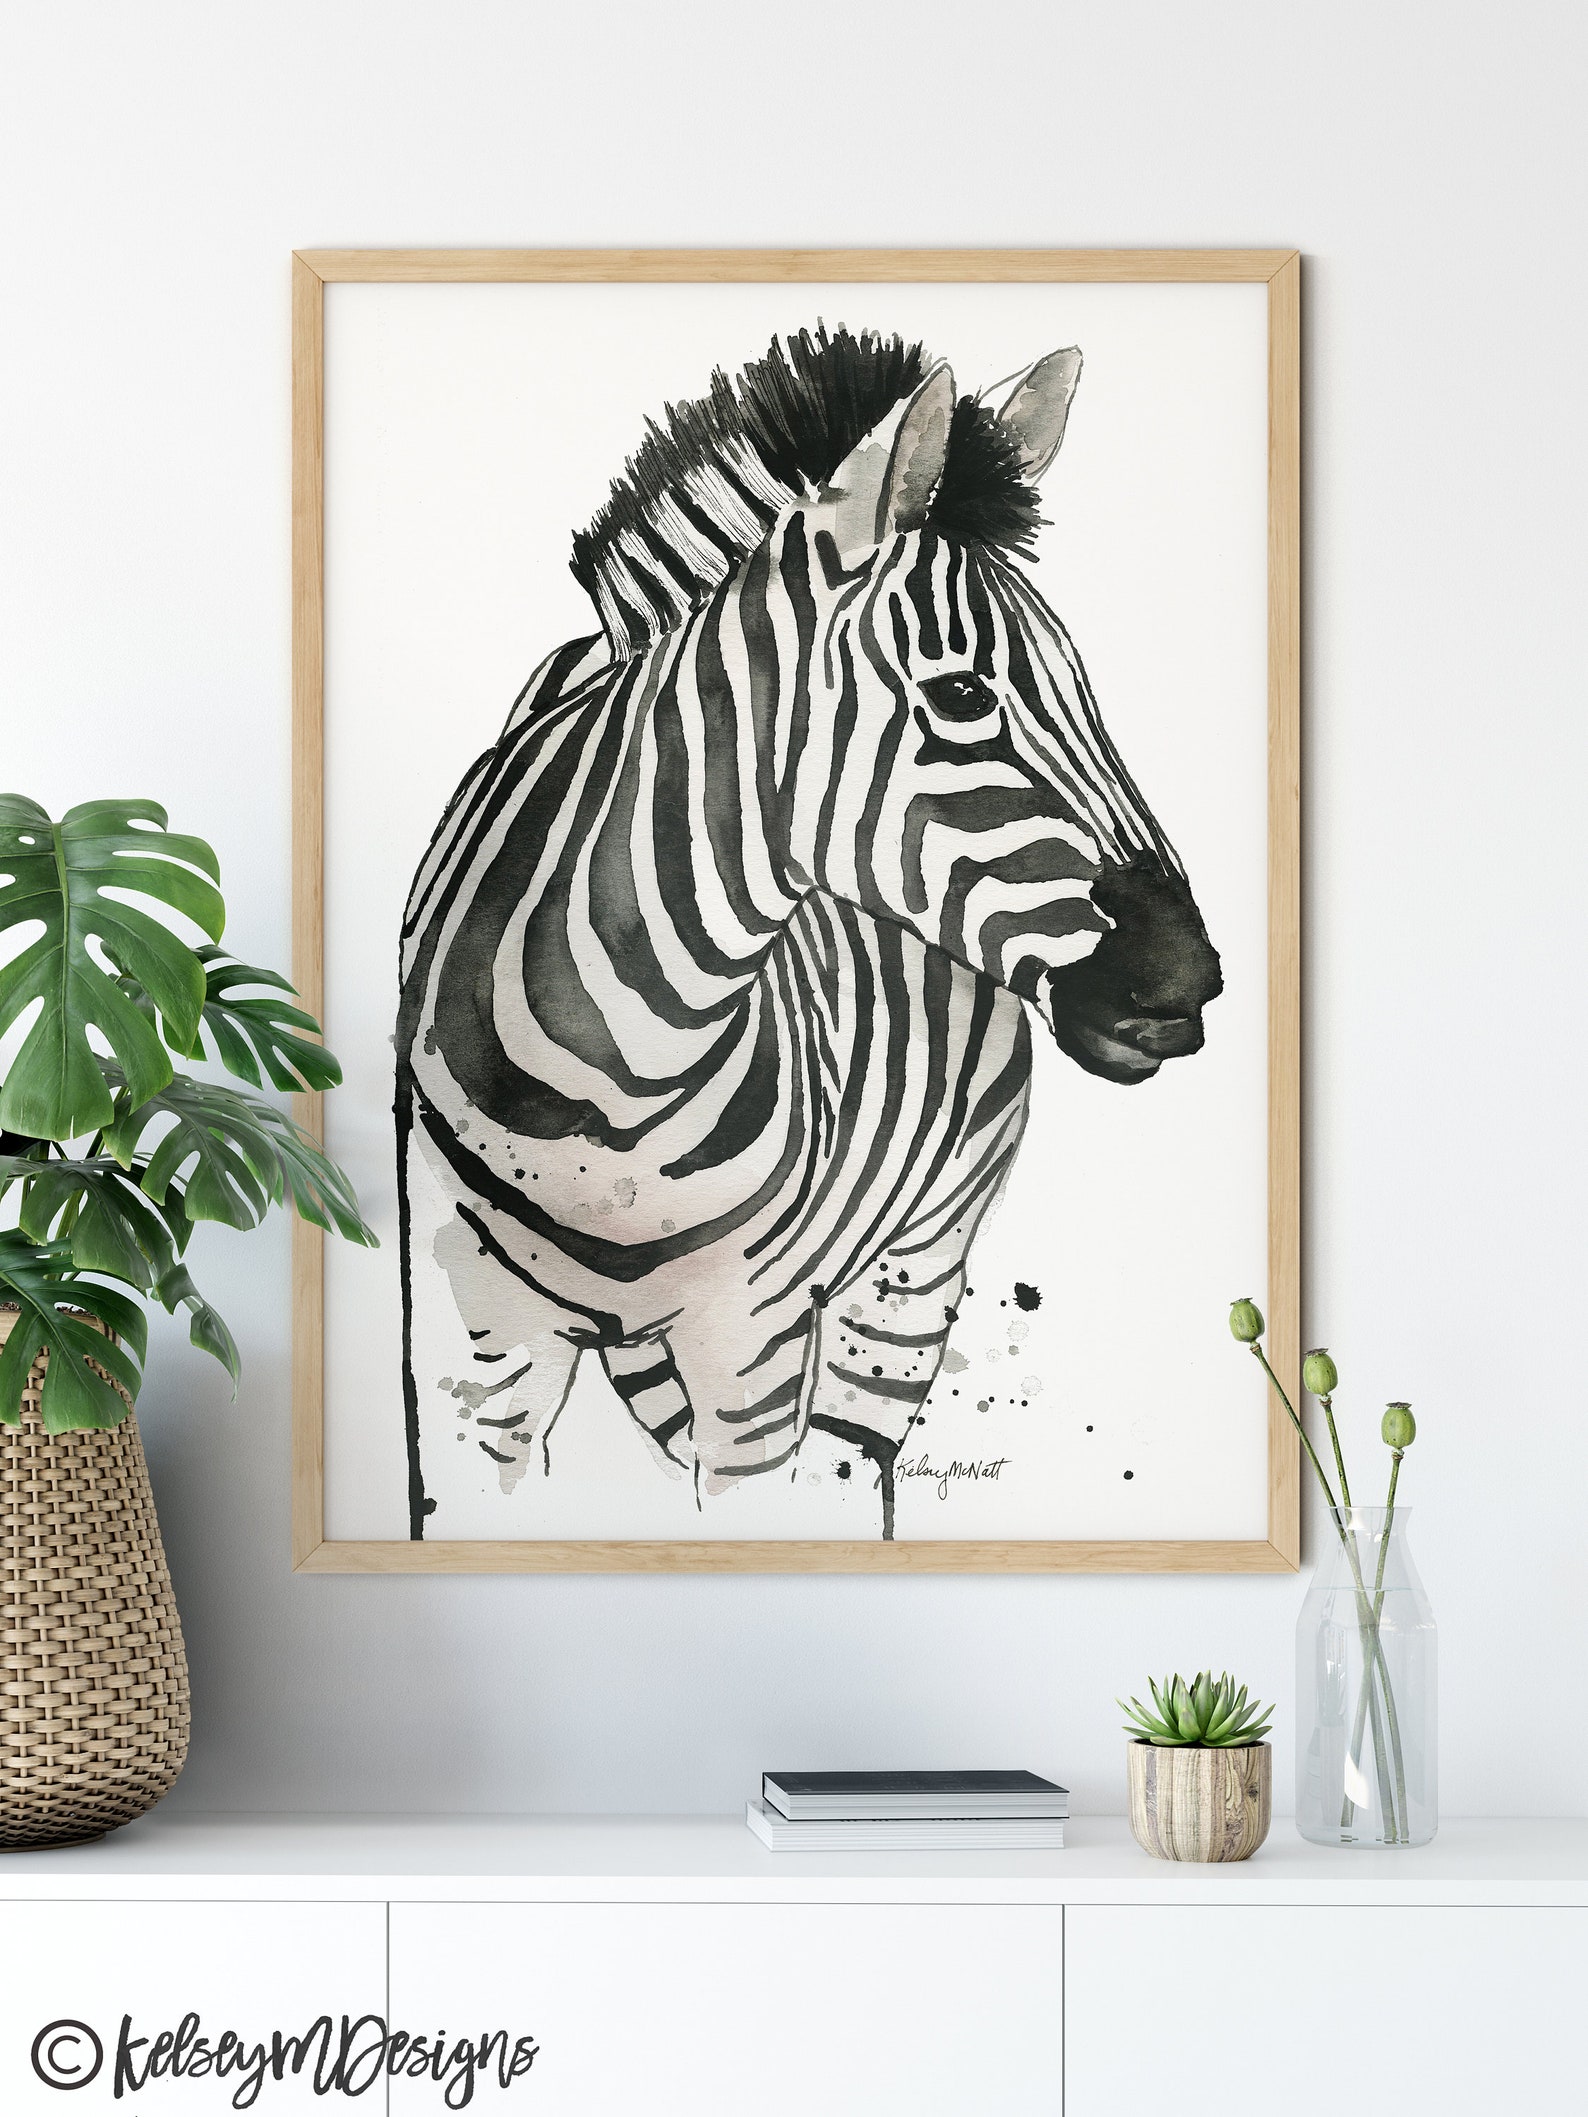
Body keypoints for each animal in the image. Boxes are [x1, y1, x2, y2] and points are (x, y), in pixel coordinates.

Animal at [396, 326, 1221, 1540]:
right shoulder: (477, 1326)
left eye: (1085, 685)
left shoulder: (754, 1337)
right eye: (962, 694)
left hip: (908, 1275)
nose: (1186, 981)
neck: (597, 1090)